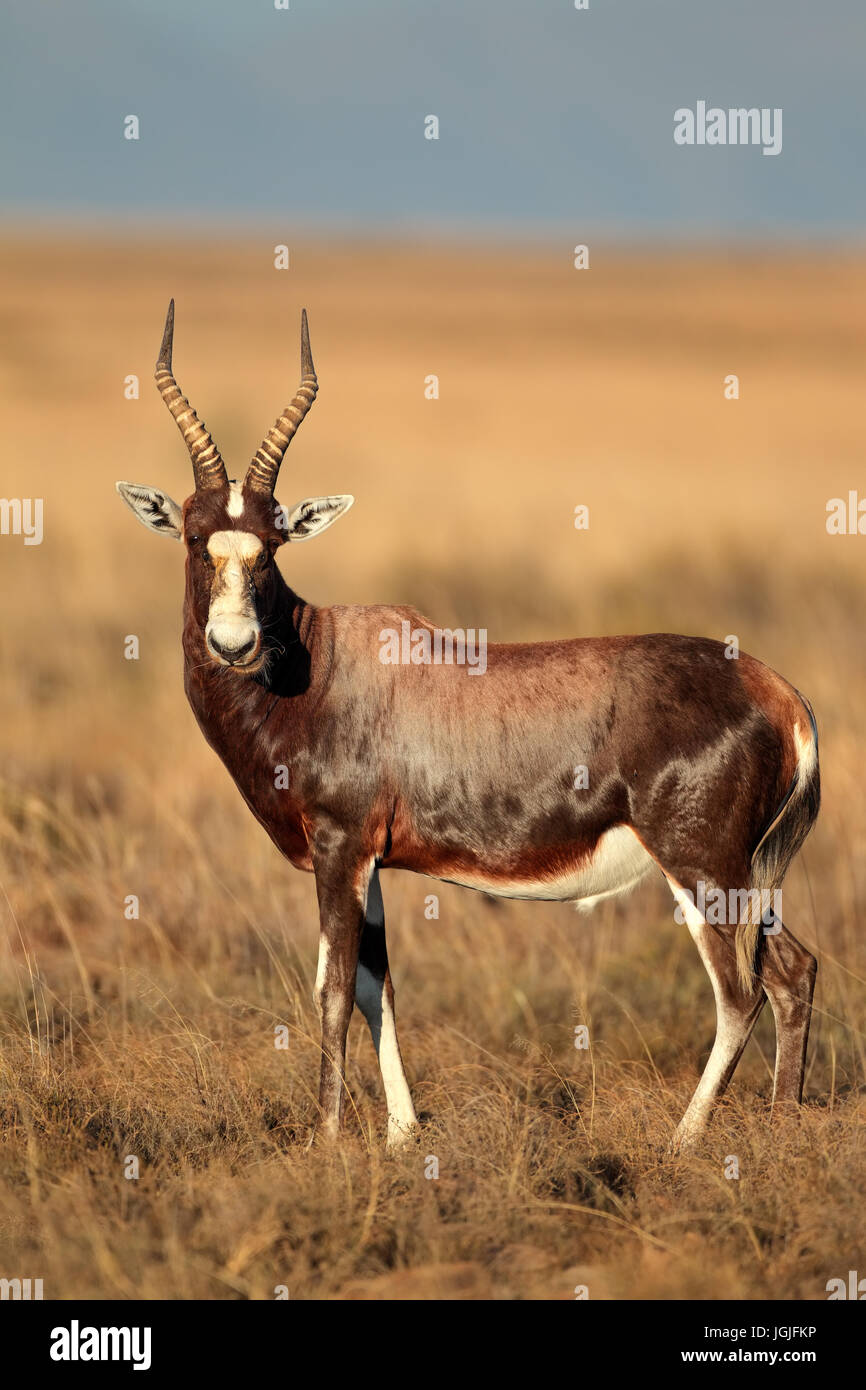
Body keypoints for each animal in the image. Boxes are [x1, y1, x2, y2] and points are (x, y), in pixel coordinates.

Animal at [117, 302, 820, 1152]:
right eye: (194, 538)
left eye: (272, 546)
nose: (234, 644)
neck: (321, 658)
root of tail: (780, 694)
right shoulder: (372, 863)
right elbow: (375, 987)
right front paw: (401, 1136)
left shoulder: (340, 848)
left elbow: (330, 990)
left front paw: (328, 1143)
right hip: (750, 874)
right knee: (793, 973)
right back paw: (782, 1132)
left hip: (702, 868)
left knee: (740, 993)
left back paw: (683, 1144)